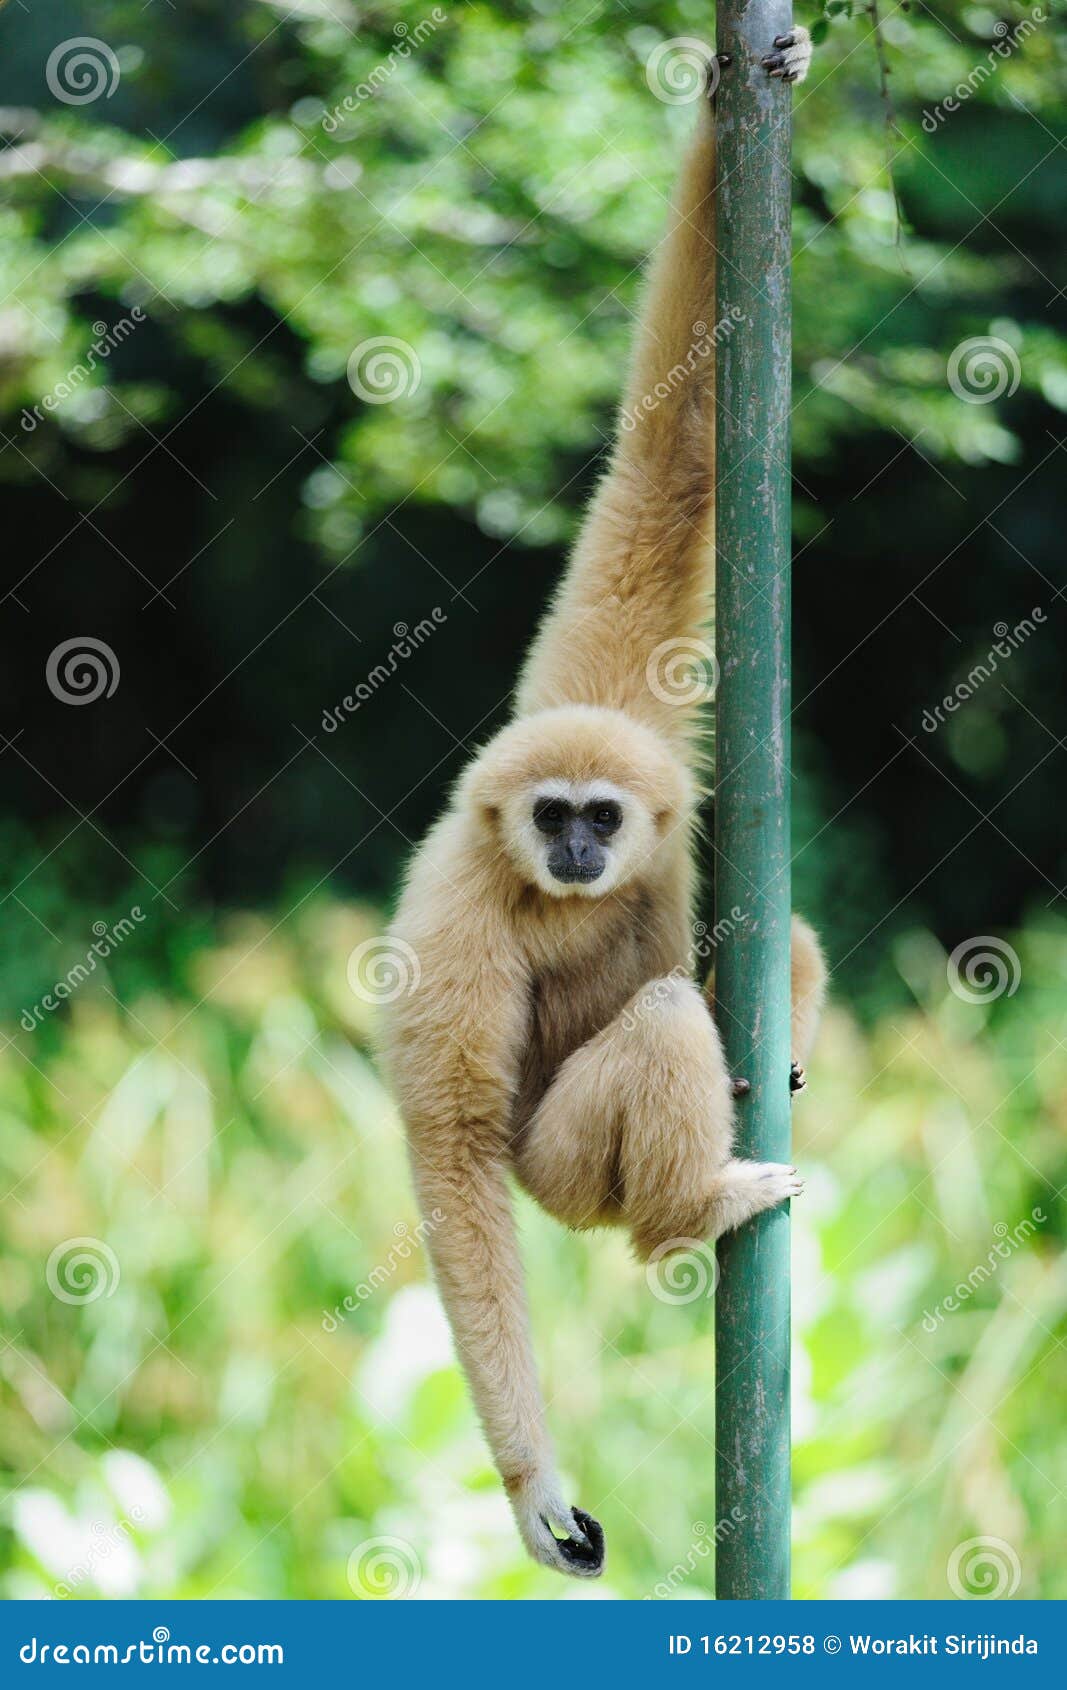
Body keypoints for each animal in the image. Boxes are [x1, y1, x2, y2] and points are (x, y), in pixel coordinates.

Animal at [382, 28, 822, 1579]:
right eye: (552, 813)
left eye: (604, 816)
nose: (575, 843)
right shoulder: (449, 912)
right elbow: (450, 1152)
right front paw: (532, 1485)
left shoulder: (623, 692)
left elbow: (670, 461)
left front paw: (743, 79)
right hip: (566, 1172)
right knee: (666, 1019)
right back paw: (687, 1215)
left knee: (773, 946)